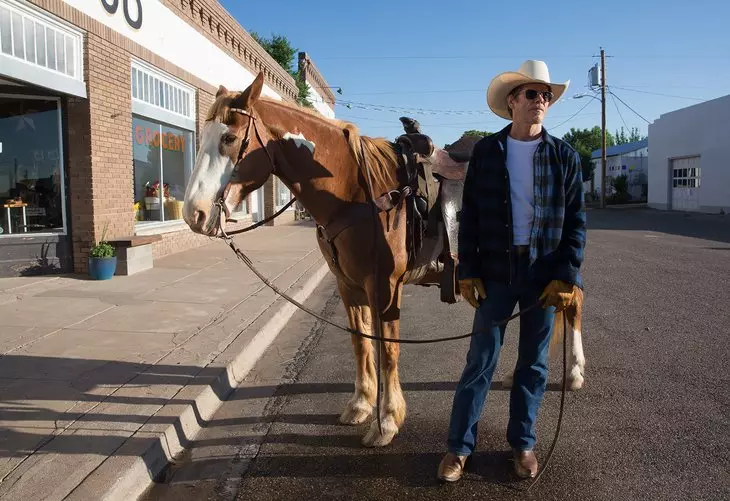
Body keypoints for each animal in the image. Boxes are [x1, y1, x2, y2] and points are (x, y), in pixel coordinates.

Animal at [183, 69, 584, 446]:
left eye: (229, 138)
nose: (193, 214)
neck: (353, 192)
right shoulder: (348, 287)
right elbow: (361, 344)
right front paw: (361, 405)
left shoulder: (385, 287)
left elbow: (387, 350)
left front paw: (387, 421)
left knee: (572, 304)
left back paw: (574, 372)